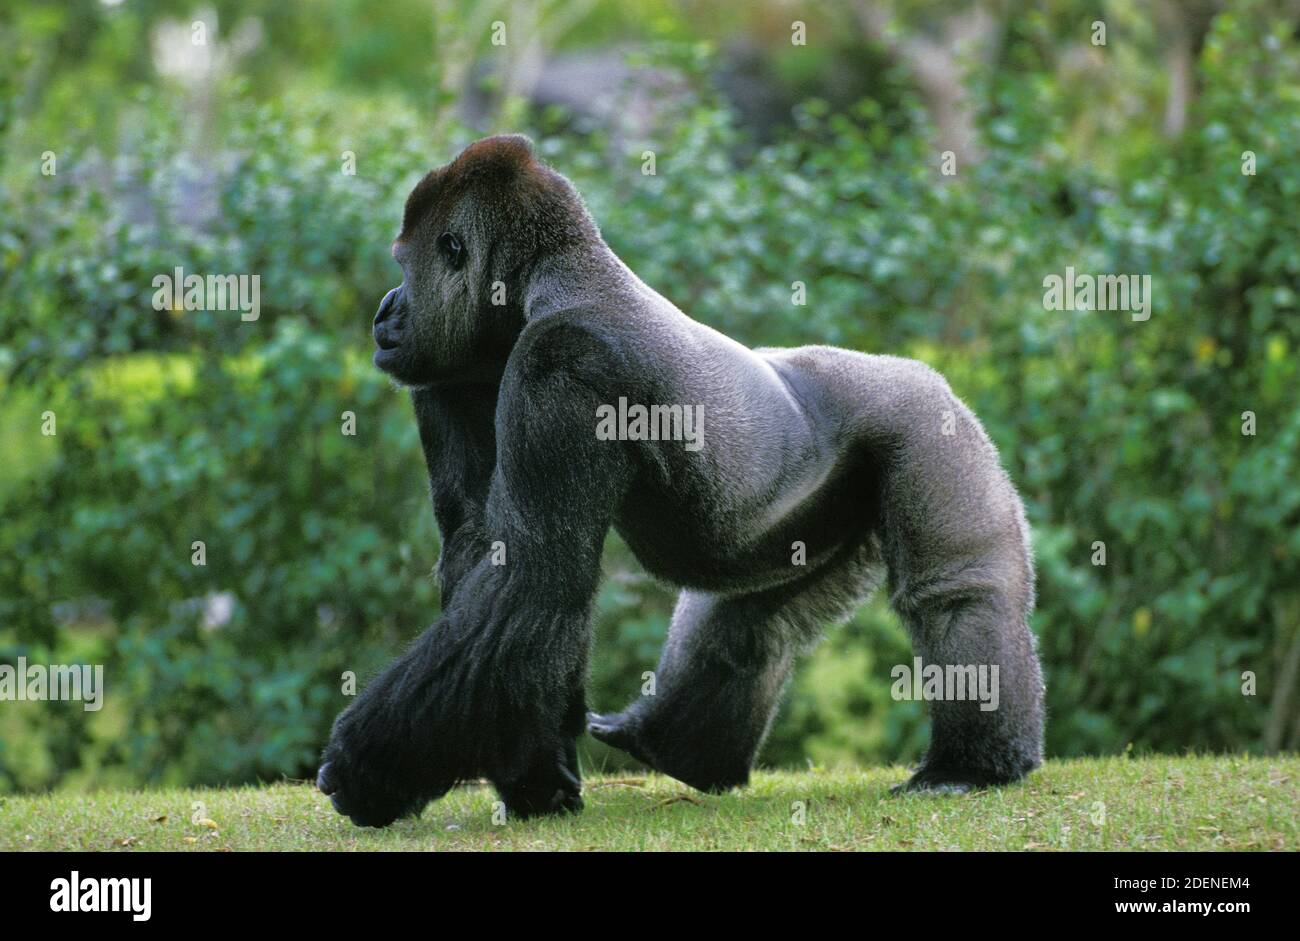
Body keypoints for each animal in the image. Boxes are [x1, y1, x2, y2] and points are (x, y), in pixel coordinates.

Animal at [316, 134, 1044, 827]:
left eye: (403, 264)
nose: (384, 310)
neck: (536, 283)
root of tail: (924, 371)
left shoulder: (560, 365)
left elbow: (531, 577)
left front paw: (369, 768)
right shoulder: (453, 370)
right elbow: (486, 558)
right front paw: (536, 771)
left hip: (927, 424)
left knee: (956, 593)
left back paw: (970, 765)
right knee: (751, 621)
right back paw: (672, 745)